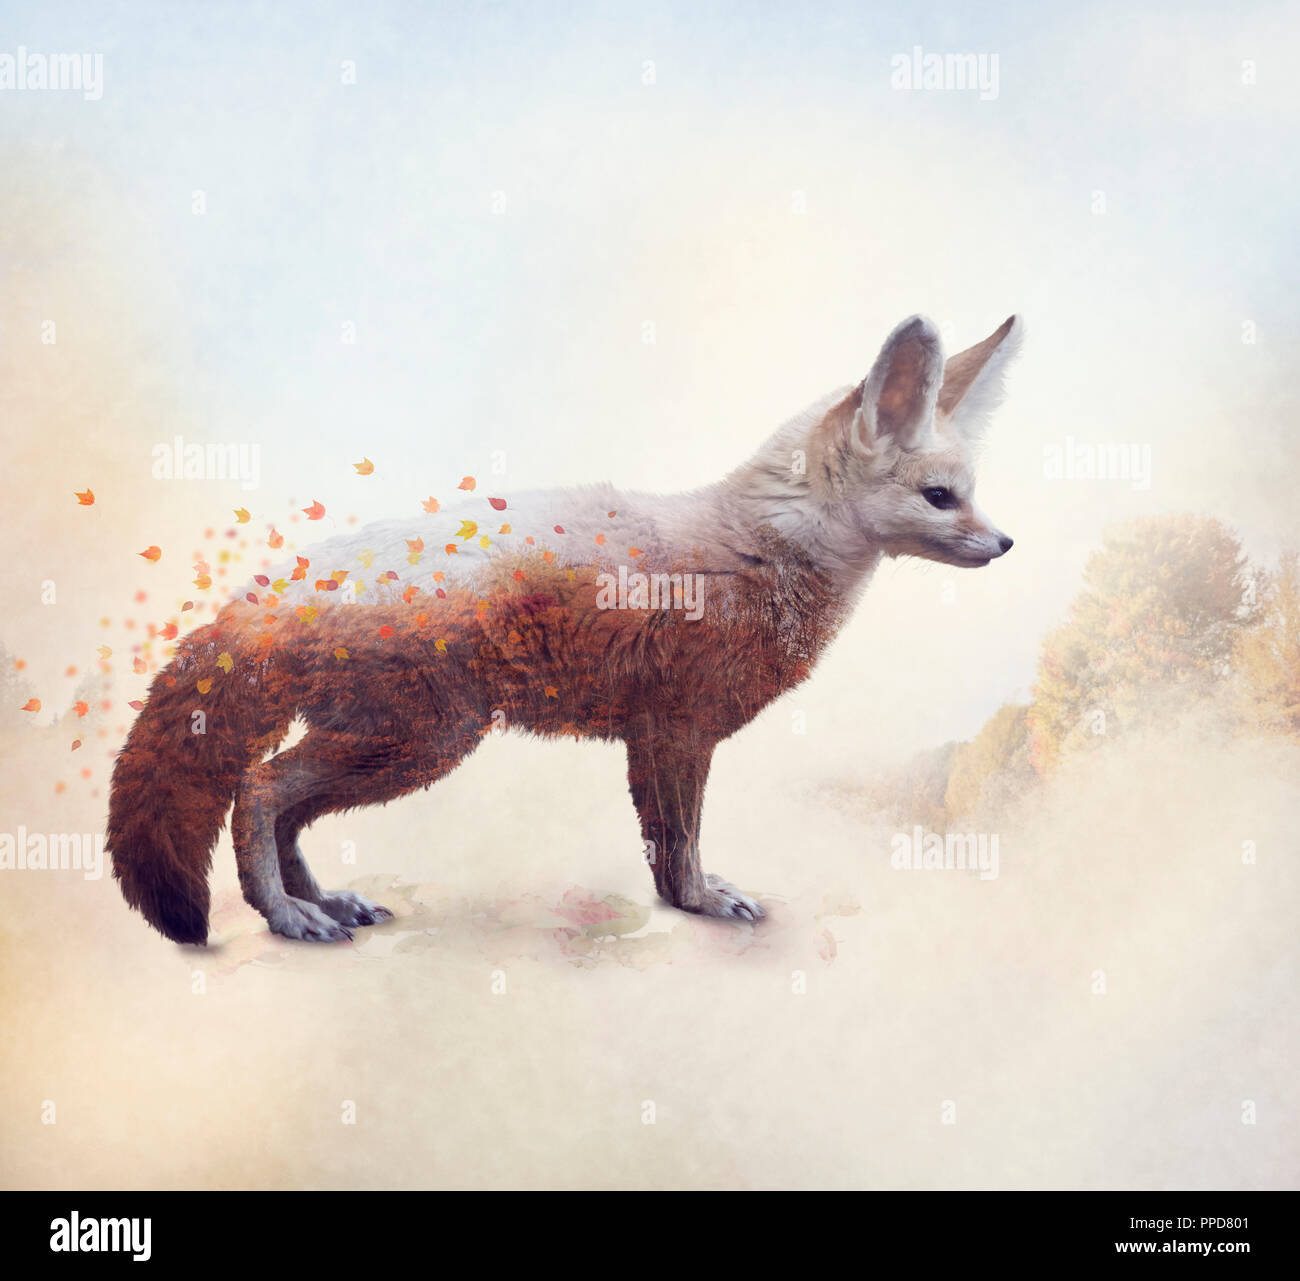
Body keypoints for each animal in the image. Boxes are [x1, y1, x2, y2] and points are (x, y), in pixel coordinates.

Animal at [108, 313, 1022, 944]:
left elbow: (664, 847)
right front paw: (702, 901)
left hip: (393, 742)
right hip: (422, 739)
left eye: (972, 493)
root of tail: (286, 581)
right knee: (259, 791)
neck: (759, 549)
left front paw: (681, 901)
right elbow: (681, 843)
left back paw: (319, 899)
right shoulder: (677, 730)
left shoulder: (655, 737)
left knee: (280, 805)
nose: (1007, 544)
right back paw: (288, 916)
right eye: (941, 497)